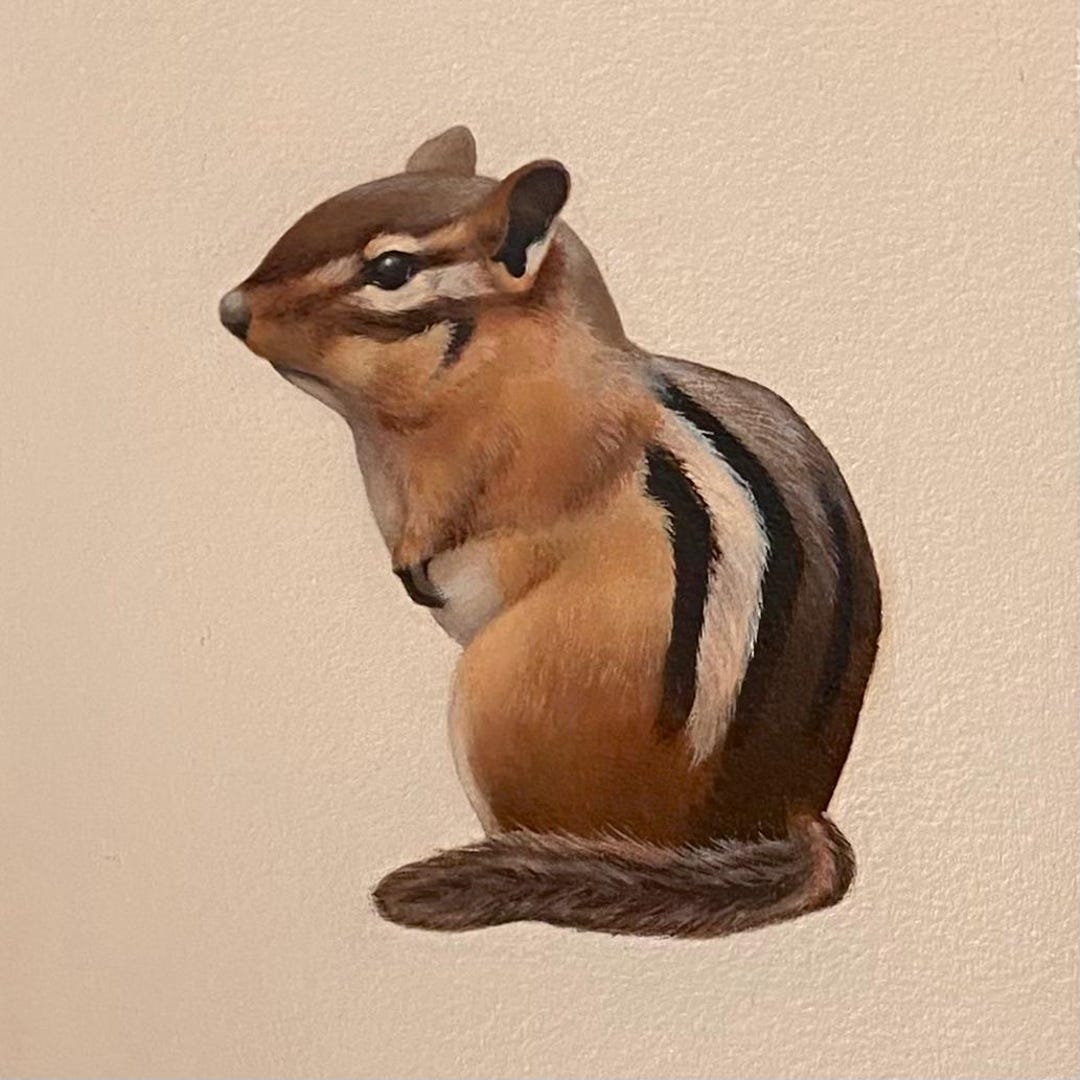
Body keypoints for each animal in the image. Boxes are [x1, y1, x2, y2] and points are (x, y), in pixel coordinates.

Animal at [219, 126, 881, 938]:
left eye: (391, 269)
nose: (230, 308)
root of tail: (782, 815)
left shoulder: (515, 467)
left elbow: (468, 517)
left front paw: (418, 567)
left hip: (502, 696)